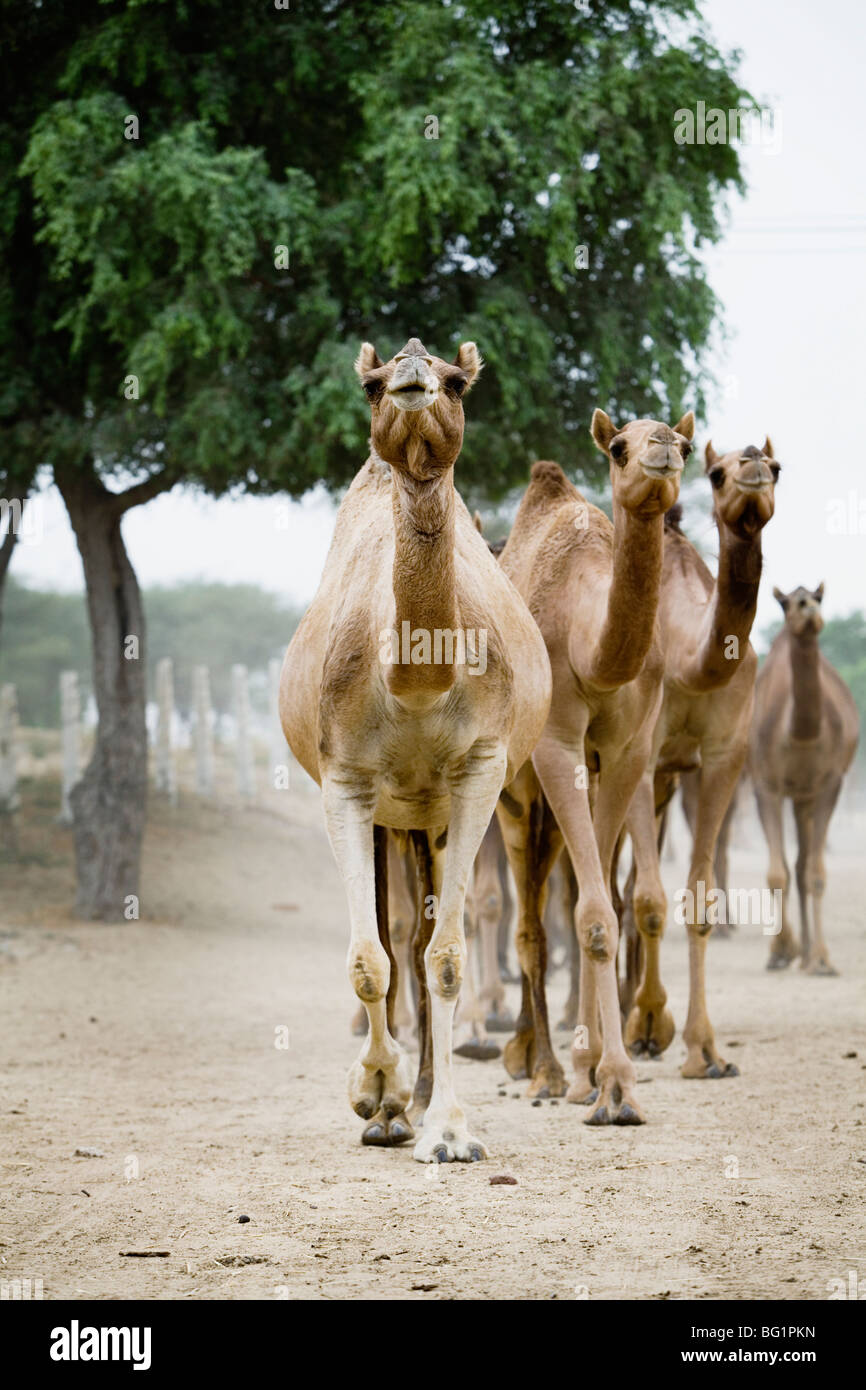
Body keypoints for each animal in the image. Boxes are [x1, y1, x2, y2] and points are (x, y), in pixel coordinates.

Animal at [280, 336, 551, 1162]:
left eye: (456, 380)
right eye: (371, 385)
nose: (409, 376)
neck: (419, 680)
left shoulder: (480, 771)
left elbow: (448, 956)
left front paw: (450, 1129)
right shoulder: (344, 779)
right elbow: (371, 959)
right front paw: (379, 1099)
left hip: (432, 814)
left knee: (429, 934)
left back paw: (430, 1089)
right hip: (394, 814)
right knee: (397, 934)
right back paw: (404, 1094)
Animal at [495, 409, 692, 1123]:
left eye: (686, 442)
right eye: (619, 447)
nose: (661, 451)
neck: (591, 648)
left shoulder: (629, 748)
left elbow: (598, 903)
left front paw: (606, 1077)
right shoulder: (555, 742)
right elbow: (593, 915)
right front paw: (611, 1086)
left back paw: (566, 1069)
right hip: (512, 792)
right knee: (526, 920)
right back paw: (539, 1069)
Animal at [750, 584, 859, 974]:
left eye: (818, 596)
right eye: (784, 602)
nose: (807, 607)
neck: (800, 734)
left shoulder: (830, 784)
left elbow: (815, 874)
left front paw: (823, 959)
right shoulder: (765, 785)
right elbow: (776, 873)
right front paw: (781, 951)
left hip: (805, 797)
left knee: (803, 866)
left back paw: (811, 953)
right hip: (793, 795)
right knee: (790, 867)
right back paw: (799, 951)